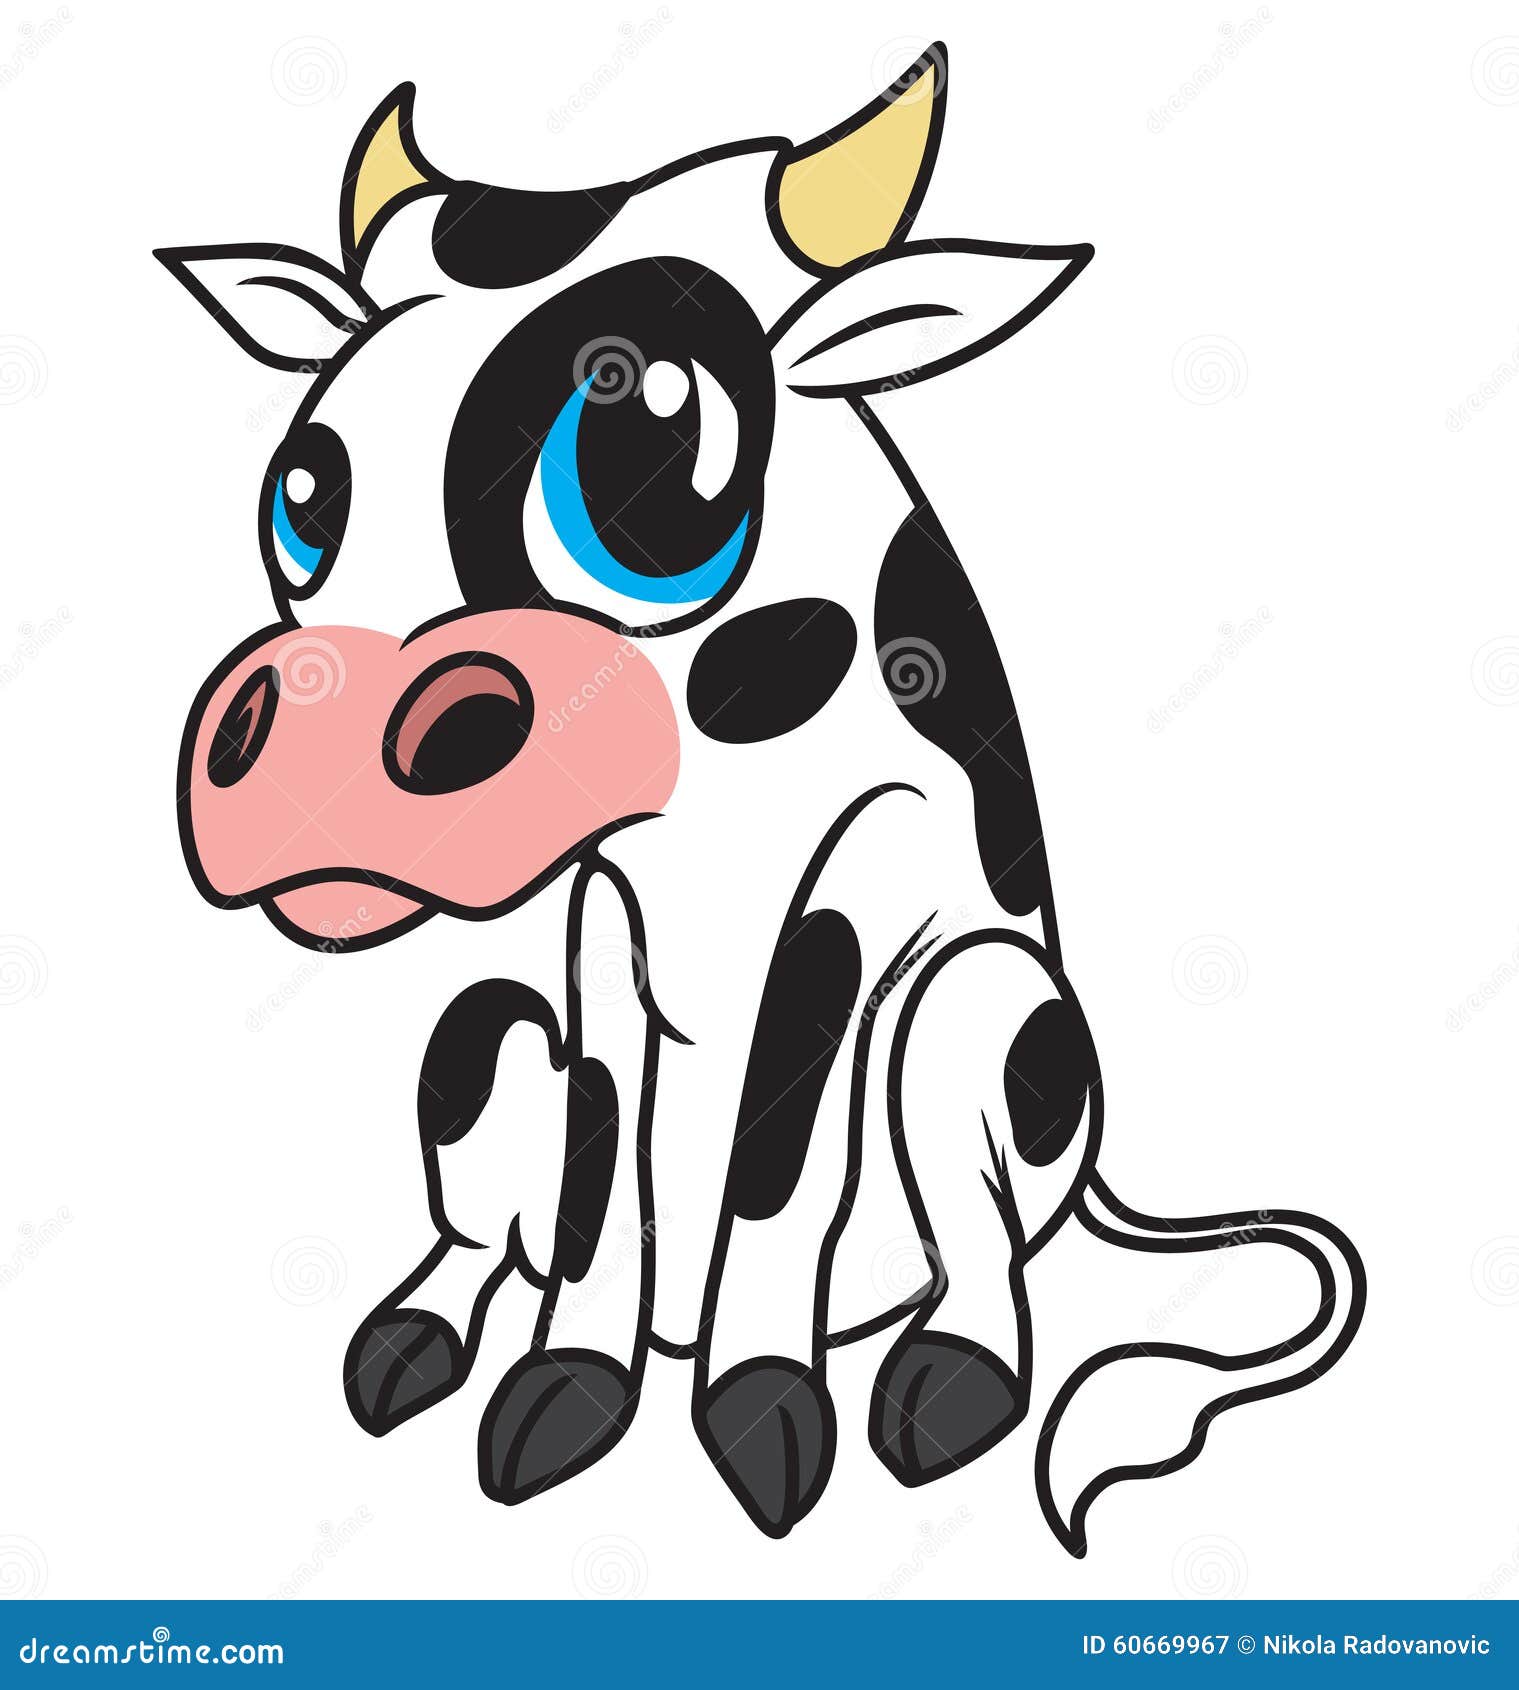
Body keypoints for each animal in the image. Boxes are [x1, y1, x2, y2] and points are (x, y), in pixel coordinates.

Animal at [158, 47, 1365, 1553]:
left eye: (642, 460)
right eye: (304, 493)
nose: (310, 743)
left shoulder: (849, 887)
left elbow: (773, 1172)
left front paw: (758, 1402)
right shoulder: (598, 922)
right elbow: (595, 1173)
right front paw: (569, 1383)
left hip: (980, 1006)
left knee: (976, 1243)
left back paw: (949, 1378)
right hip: (488, 1024)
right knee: (495, 1206)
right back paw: (418, 1331)